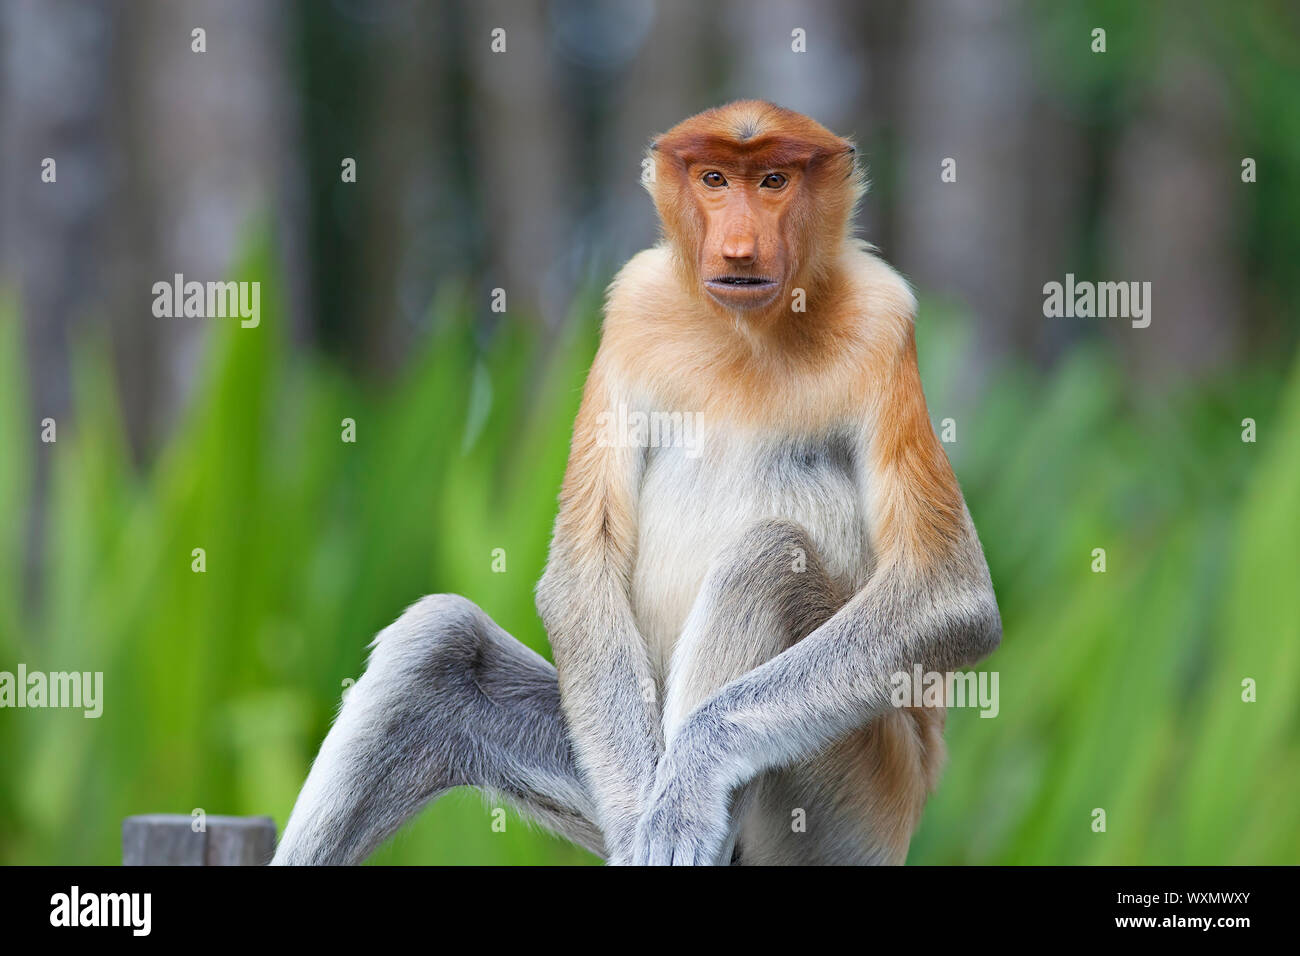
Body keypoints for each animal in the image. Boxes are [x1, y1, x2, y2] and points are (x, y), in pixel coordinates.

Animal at [271, 100, 1001, 866]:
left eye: (774, 181)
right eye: (714, 179)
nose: (738, 250)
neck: (747, 334)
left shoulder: (884, 320)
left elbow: (951, 595)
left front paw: (687, 785)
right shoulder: (633, 309)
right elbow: (581, 568)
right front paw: (641, 822)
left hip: (862, 796)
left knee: (768, 559)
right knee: (440, 645)